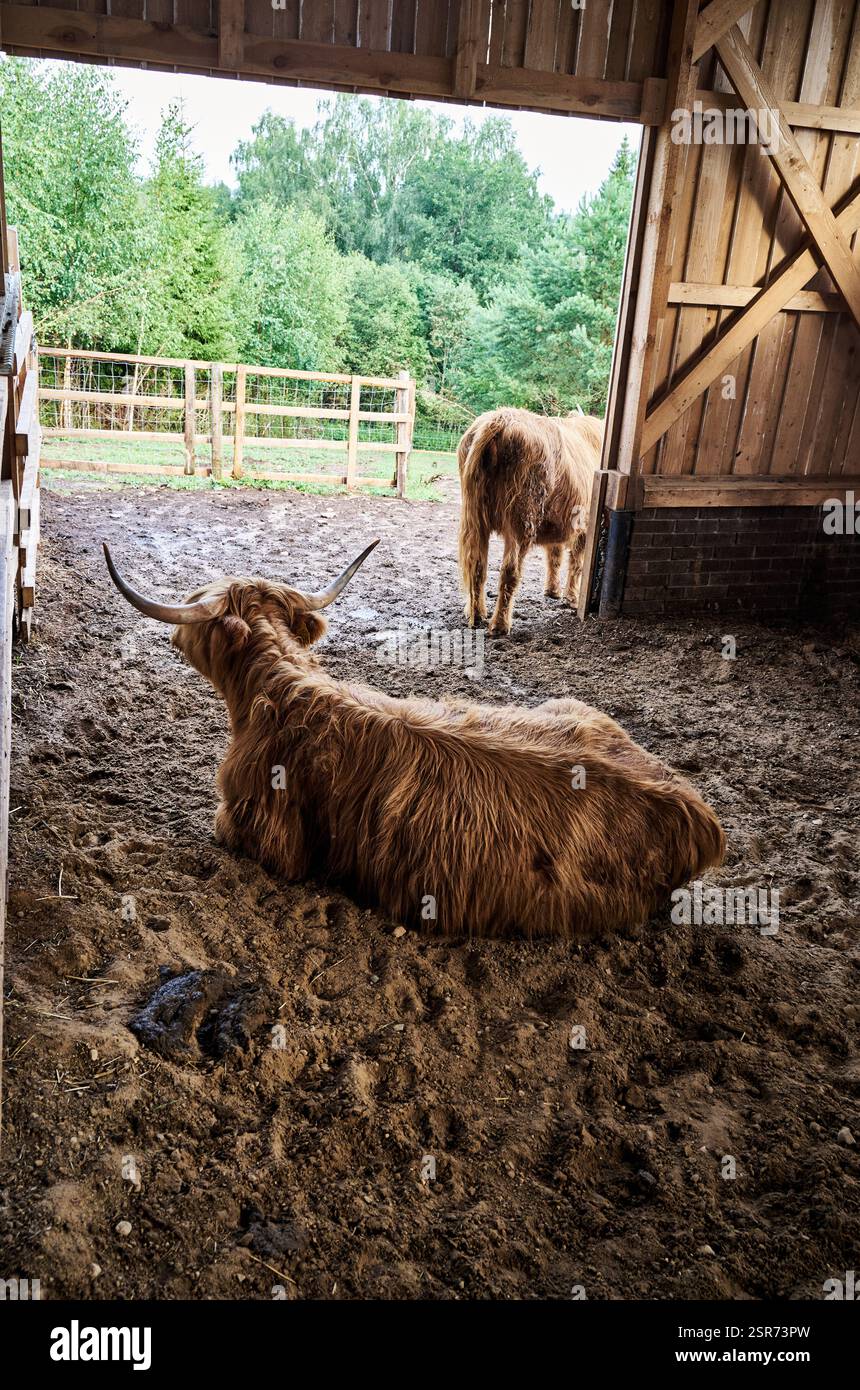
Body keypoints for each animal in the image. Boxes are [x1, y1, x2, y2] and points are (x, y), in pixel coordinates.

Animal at [458, 408, 604, 635]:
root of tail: (499, 420)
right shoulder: (584, 525)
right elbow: (577, 562)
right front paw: (572, 597)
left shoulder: (557, 521)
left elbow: (555, 555)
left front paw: (553, 591)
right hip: (523, 521)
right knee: (510, 571)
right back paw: (500, 624)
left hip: (474, 516)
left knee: (477, 564)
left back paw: (478, 613)